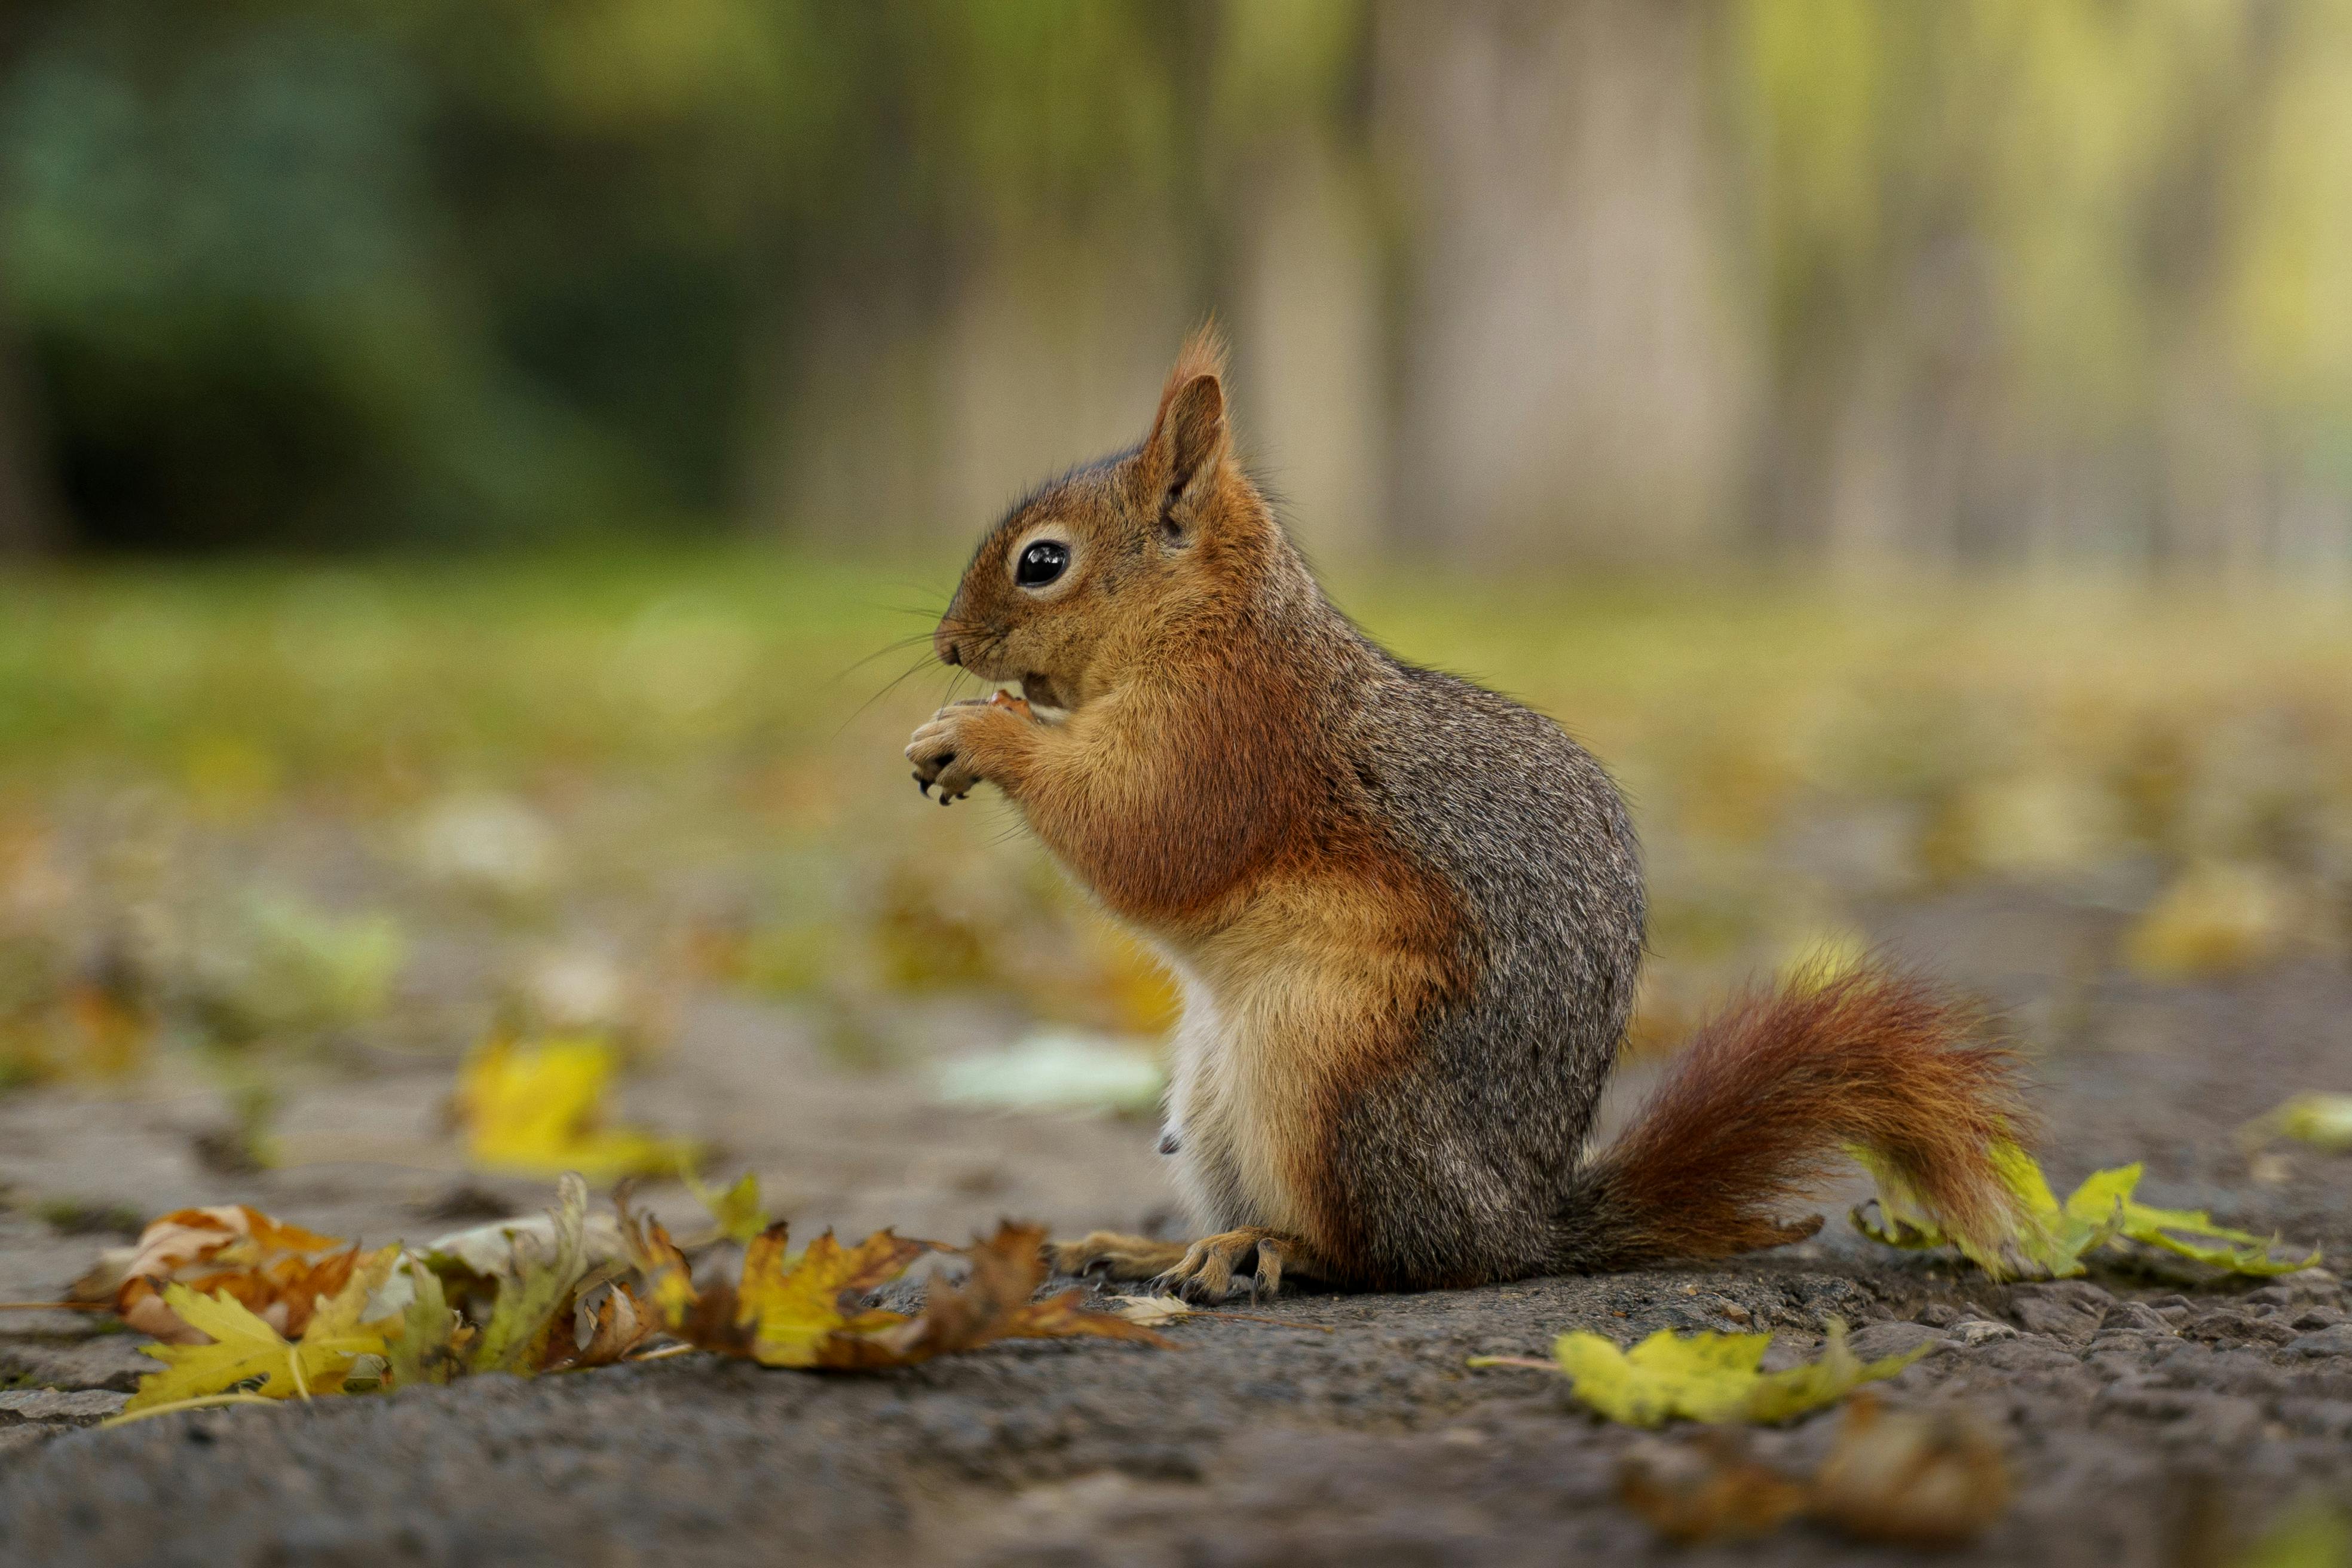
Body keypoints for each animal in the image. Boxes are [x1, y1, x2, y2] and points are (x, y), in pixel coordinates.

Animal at [905, 327, 2036, 1300]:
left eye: (1043, 562)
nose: (950, 642)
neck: (1210, 625)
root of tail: (1517, 1228)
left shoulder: (1232, 740)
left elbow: (1146, 833)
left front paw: (983, 736)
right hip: (1218, 1094)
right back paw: (1141, 1248)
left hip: (1326, 1070)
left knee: (1393, 1257)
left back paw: (1266, 1249)